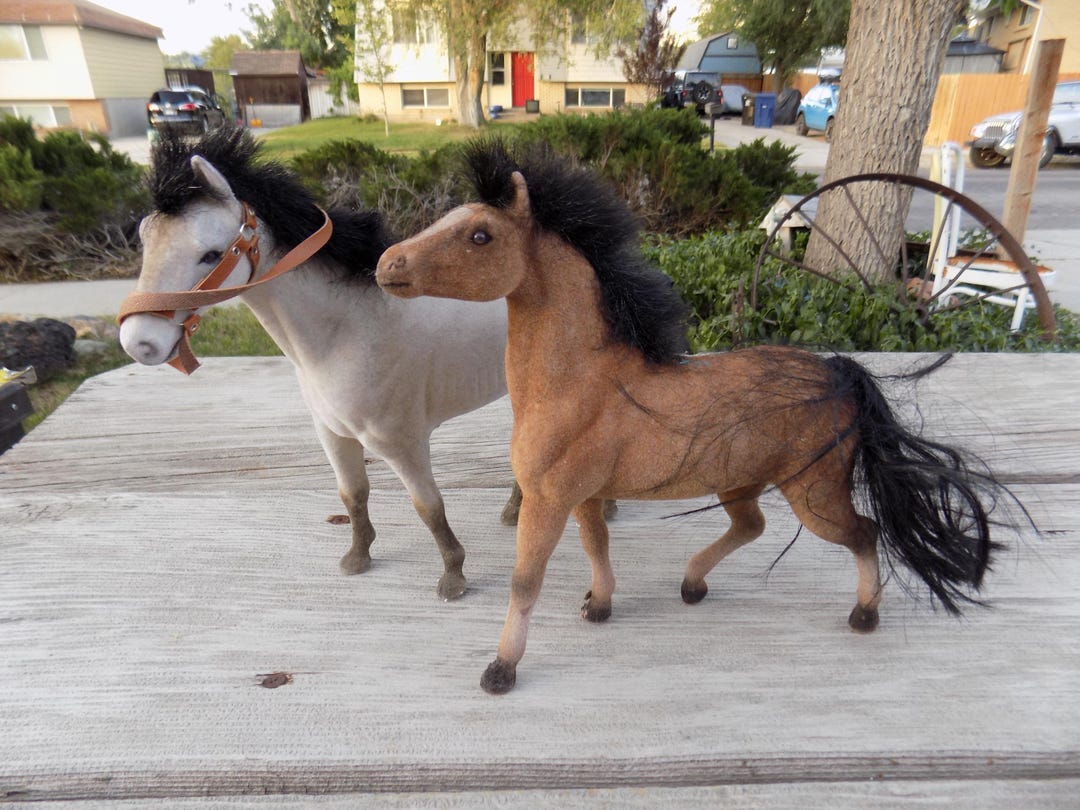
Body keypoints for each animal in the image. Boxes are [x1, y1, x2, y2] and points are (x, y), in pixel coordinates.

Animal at [118, 126, 518, 601]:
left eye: (211, 255)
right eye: (145, 239)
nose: (139, 342)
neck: (347, 332)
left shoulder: (403, 444)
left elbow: (429, 507)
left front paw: (453, 577)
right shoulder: (333, 434)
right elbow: (353, 495)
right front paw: (357, 558)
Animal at [375, 139, 1012, 694]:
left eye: (480, 236)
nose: (387, 264)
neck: (577, 382)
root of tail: (840, 374)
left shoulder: (548, 499)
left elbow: (526, 580)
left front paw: (500, 670)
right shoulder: (584, 495)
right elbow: (598, 545)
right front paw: (599, 605)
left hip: (815, 491)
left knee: (863, 531)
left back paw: (863, 615)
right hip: (741, 481)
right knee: (752, 525)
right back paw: (691, 583)